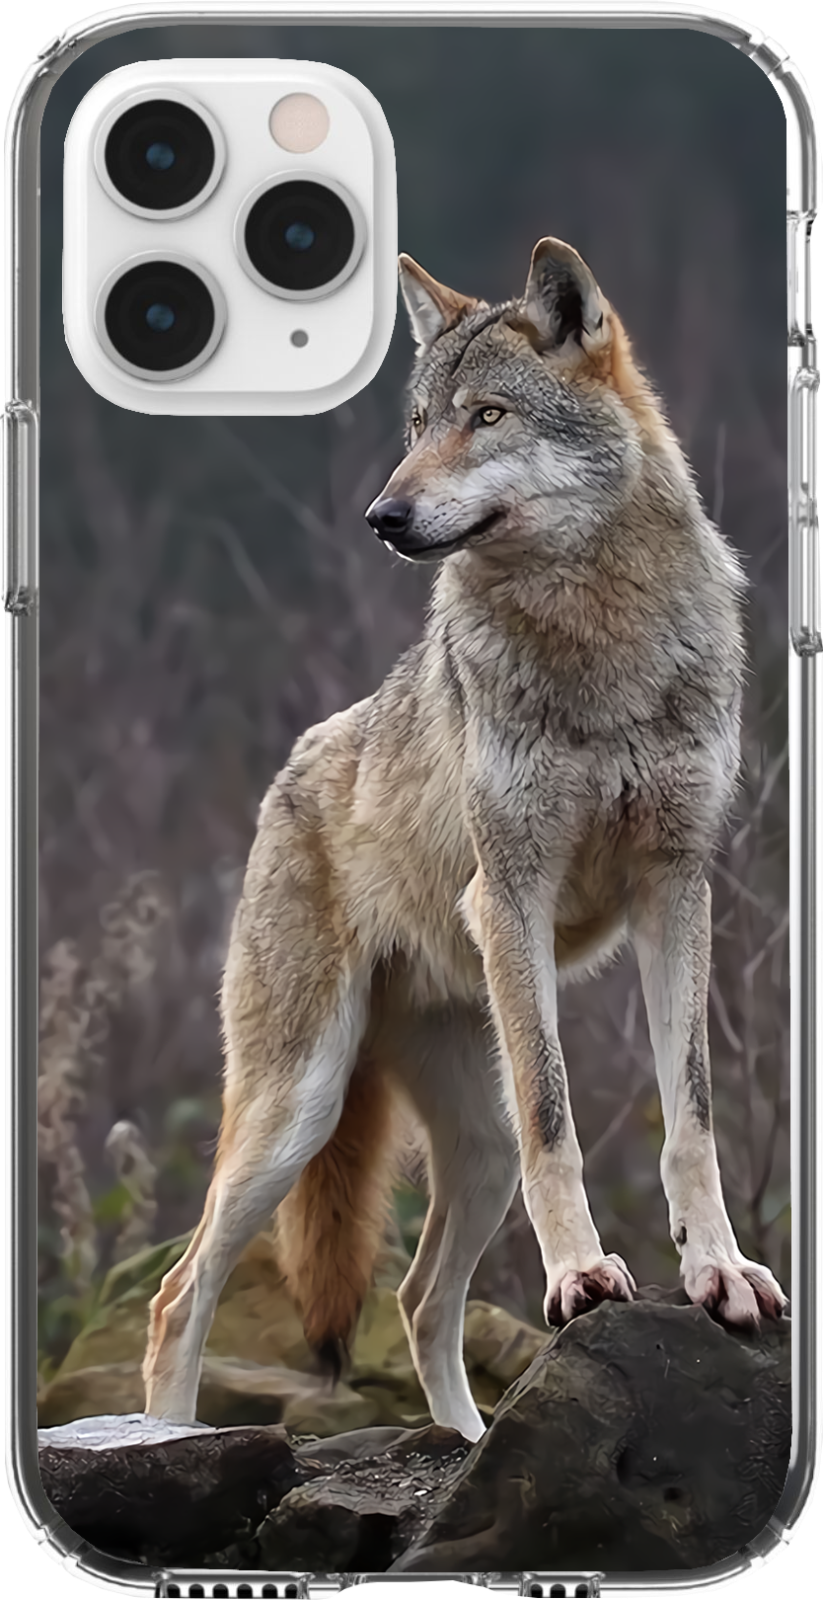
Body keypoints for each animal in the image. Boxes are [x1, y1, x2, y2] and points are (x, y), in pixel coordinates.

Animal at [143, 237, 786, 1443]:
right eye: (415, 423)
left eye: (486, 417)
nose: (382, 516)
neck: (595, 637)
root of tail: (290, 772)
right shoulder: (512, 894)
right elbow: (559, 1121)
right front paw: (583, 1278)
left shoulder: (676, 889)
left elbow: (689, 1118)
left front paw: (718, 1272)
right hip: (296, 1109)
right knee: (180, 1291)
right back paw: (158, 1441)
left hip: (464, 1148)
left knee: (417, 1296)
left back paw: (468, 1441)